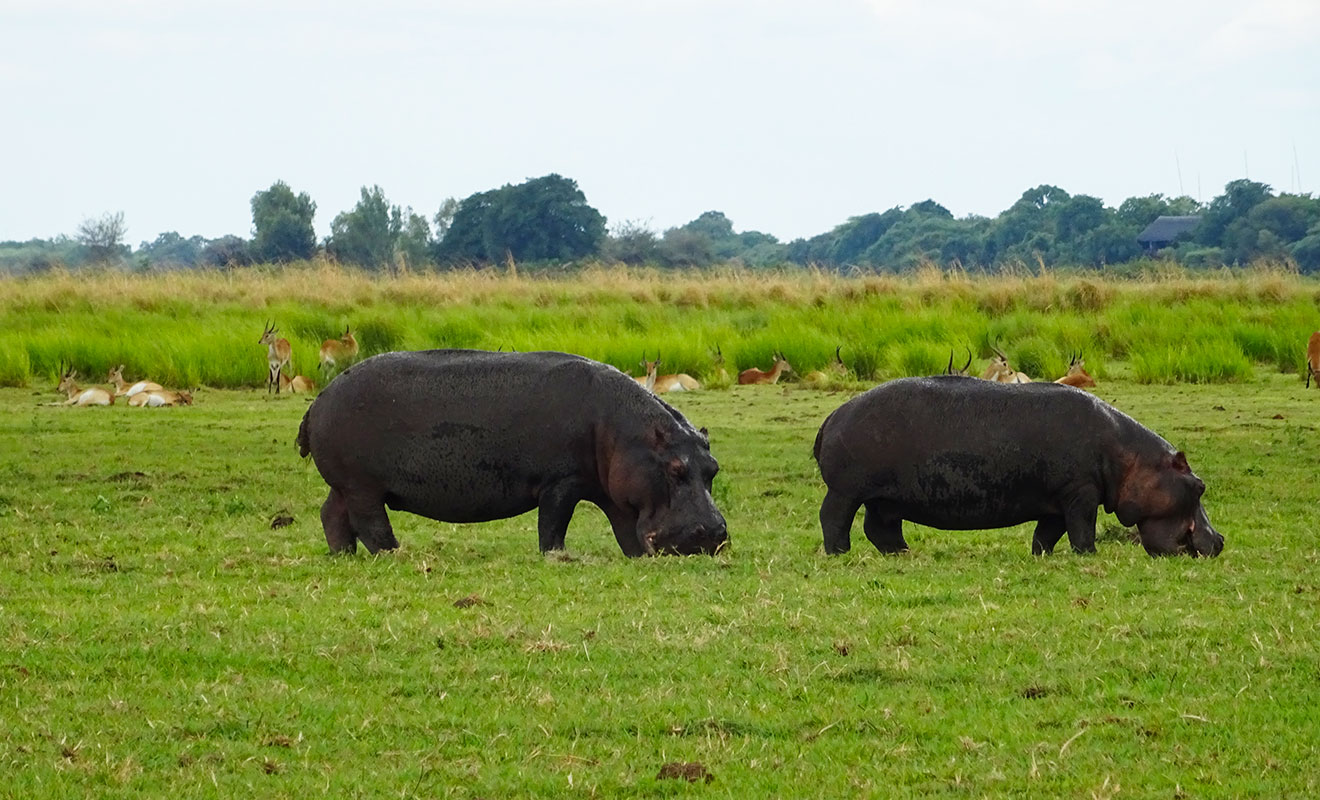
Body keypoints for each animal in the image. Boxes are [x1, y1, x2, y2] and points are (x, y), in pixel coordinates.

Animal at [295, 349, 727, 556]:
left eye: (713, 468)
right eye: (675, 469)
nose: (713, 534)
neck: (625, 433)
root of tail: (318, 401)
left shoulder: (615, 496)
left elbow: (627, 531)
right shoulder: (561, 483)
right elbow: (553, 524)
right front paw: (556, 555)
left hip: (345, 486)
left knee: (332, 515)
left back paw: (343, 555)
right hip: (362, 487)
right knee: (371, 523)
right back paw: (394, 553)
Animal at [813, 376, 1224, 557]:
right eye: (1199, 485)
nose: (1220, 540)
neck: (1131, 458)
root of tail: (833, 415)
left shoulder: (1058, 502)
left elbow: (1047, 534)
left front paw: (1041, 556)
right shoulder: (1080, 494)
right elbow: (1082, 529)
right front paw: (1089, 555)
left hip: (884, 498)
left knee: (879, 527)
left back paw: (902, 553)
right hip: (847, 490)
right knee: (834, 518)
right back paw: (839, 553)